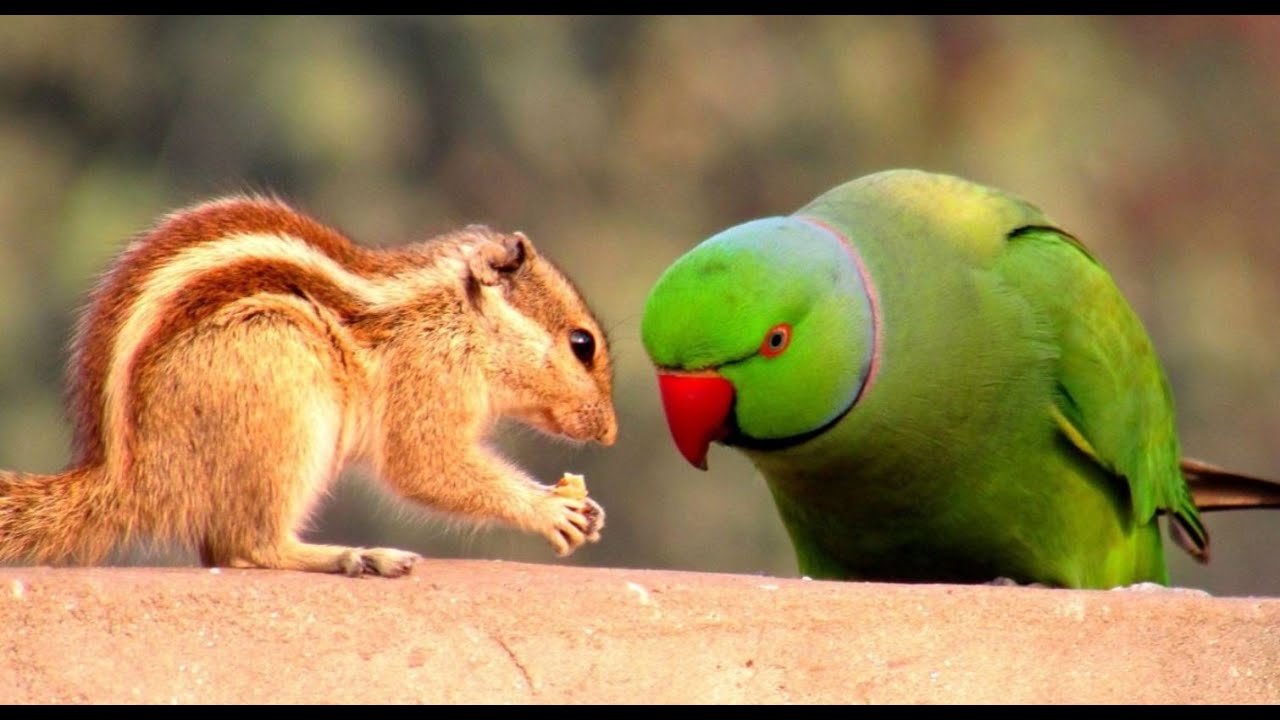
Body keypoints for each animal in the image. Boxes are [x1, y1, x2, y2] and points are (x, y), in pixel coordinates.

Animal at [0, 195, 617, 577]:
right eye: (581, 343)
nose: (610, 435)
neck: (457, 318)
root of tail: (128, 476)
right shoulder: (428, 385)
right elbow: (425, 466)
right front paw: (550, 509)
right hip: (284, 395)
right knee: (248, 547)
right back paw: (357, 557)